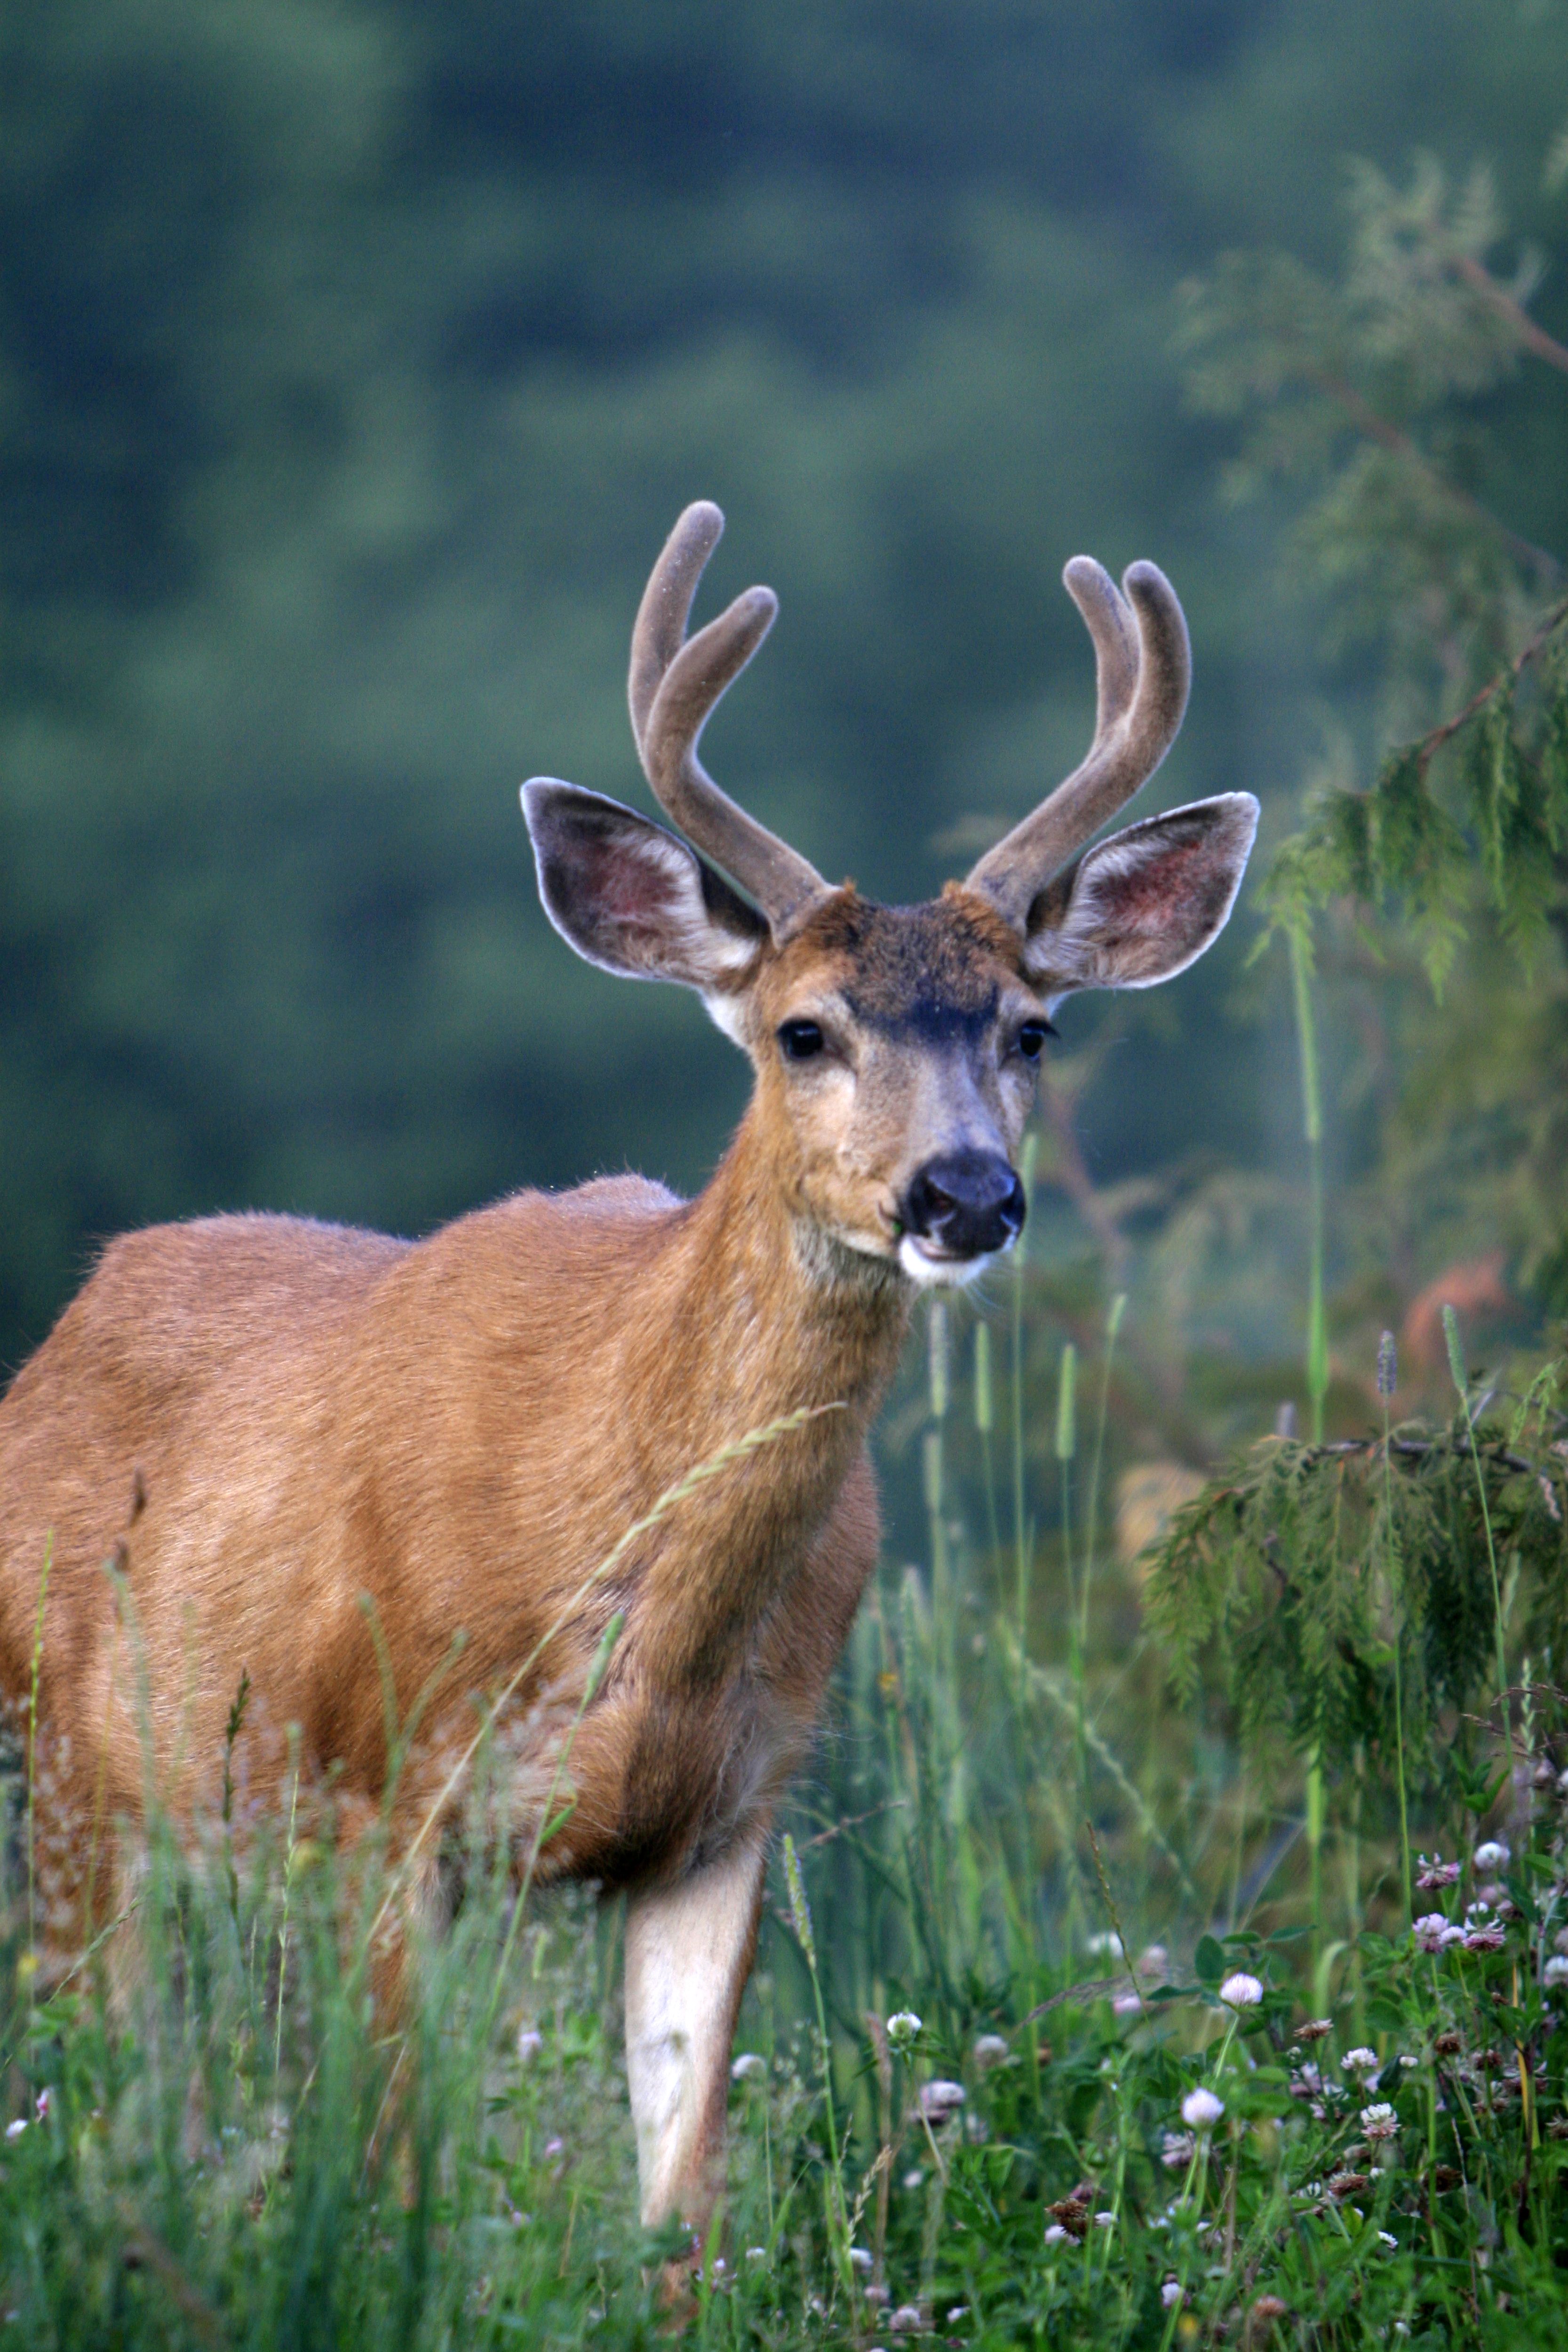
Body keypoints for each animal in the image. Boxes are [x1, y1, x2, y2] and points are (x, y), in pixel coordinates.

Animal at [0, 500, 1256, 2247]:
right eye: (802, 1031)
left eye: (1030, 1030)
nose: (964, 1197)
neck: (639, 1580)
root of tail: (63, 1326)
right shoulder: (390, 1790)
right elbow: (399, 2180)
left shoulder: (730, 1816)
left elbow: (684, 2208)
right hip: (74, 1776)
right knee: (94, 2099)